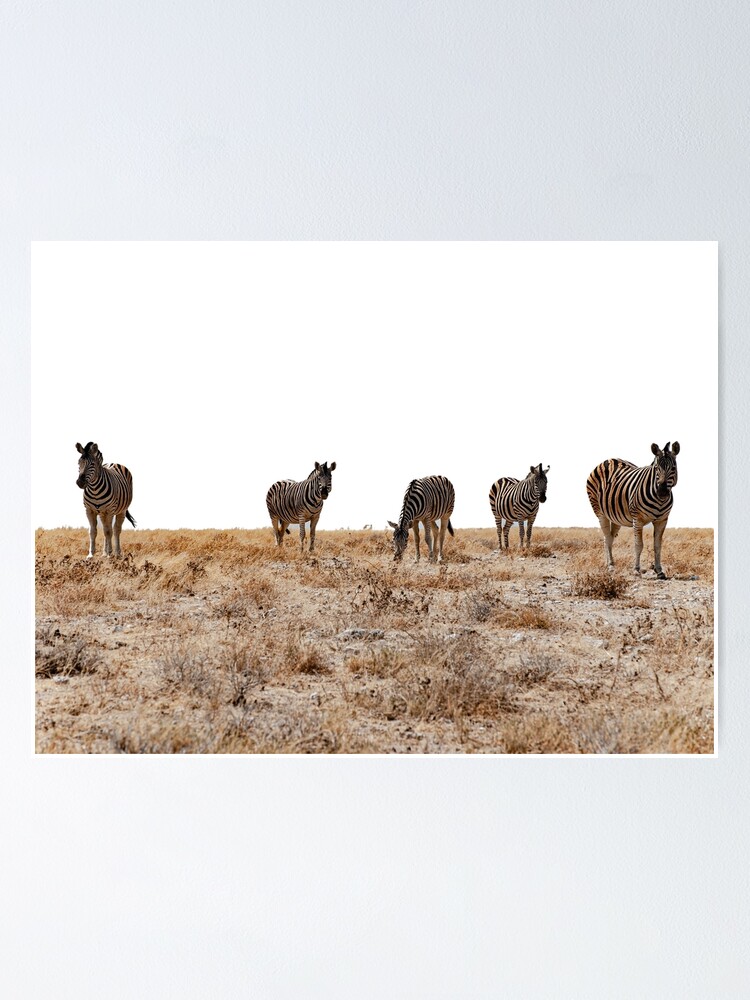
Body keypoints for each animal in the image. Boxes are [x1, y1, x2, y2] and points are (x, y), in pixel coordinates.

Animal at [586, 441, 680, 579]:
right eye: (656, 468)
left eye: (673, 468)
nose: (662, 492)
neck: (659, 500)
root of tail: (608, 460)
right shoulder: (638, 519)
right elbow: (638, 544)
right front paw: (636, 570)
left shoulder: (662, 520)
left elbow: (657, 545)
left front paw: (659, 570)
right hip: (599, 511)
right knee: (607, 537)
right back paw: (610, 566)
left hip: (616, 517)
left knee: (608, 537)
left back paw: (609, 563)